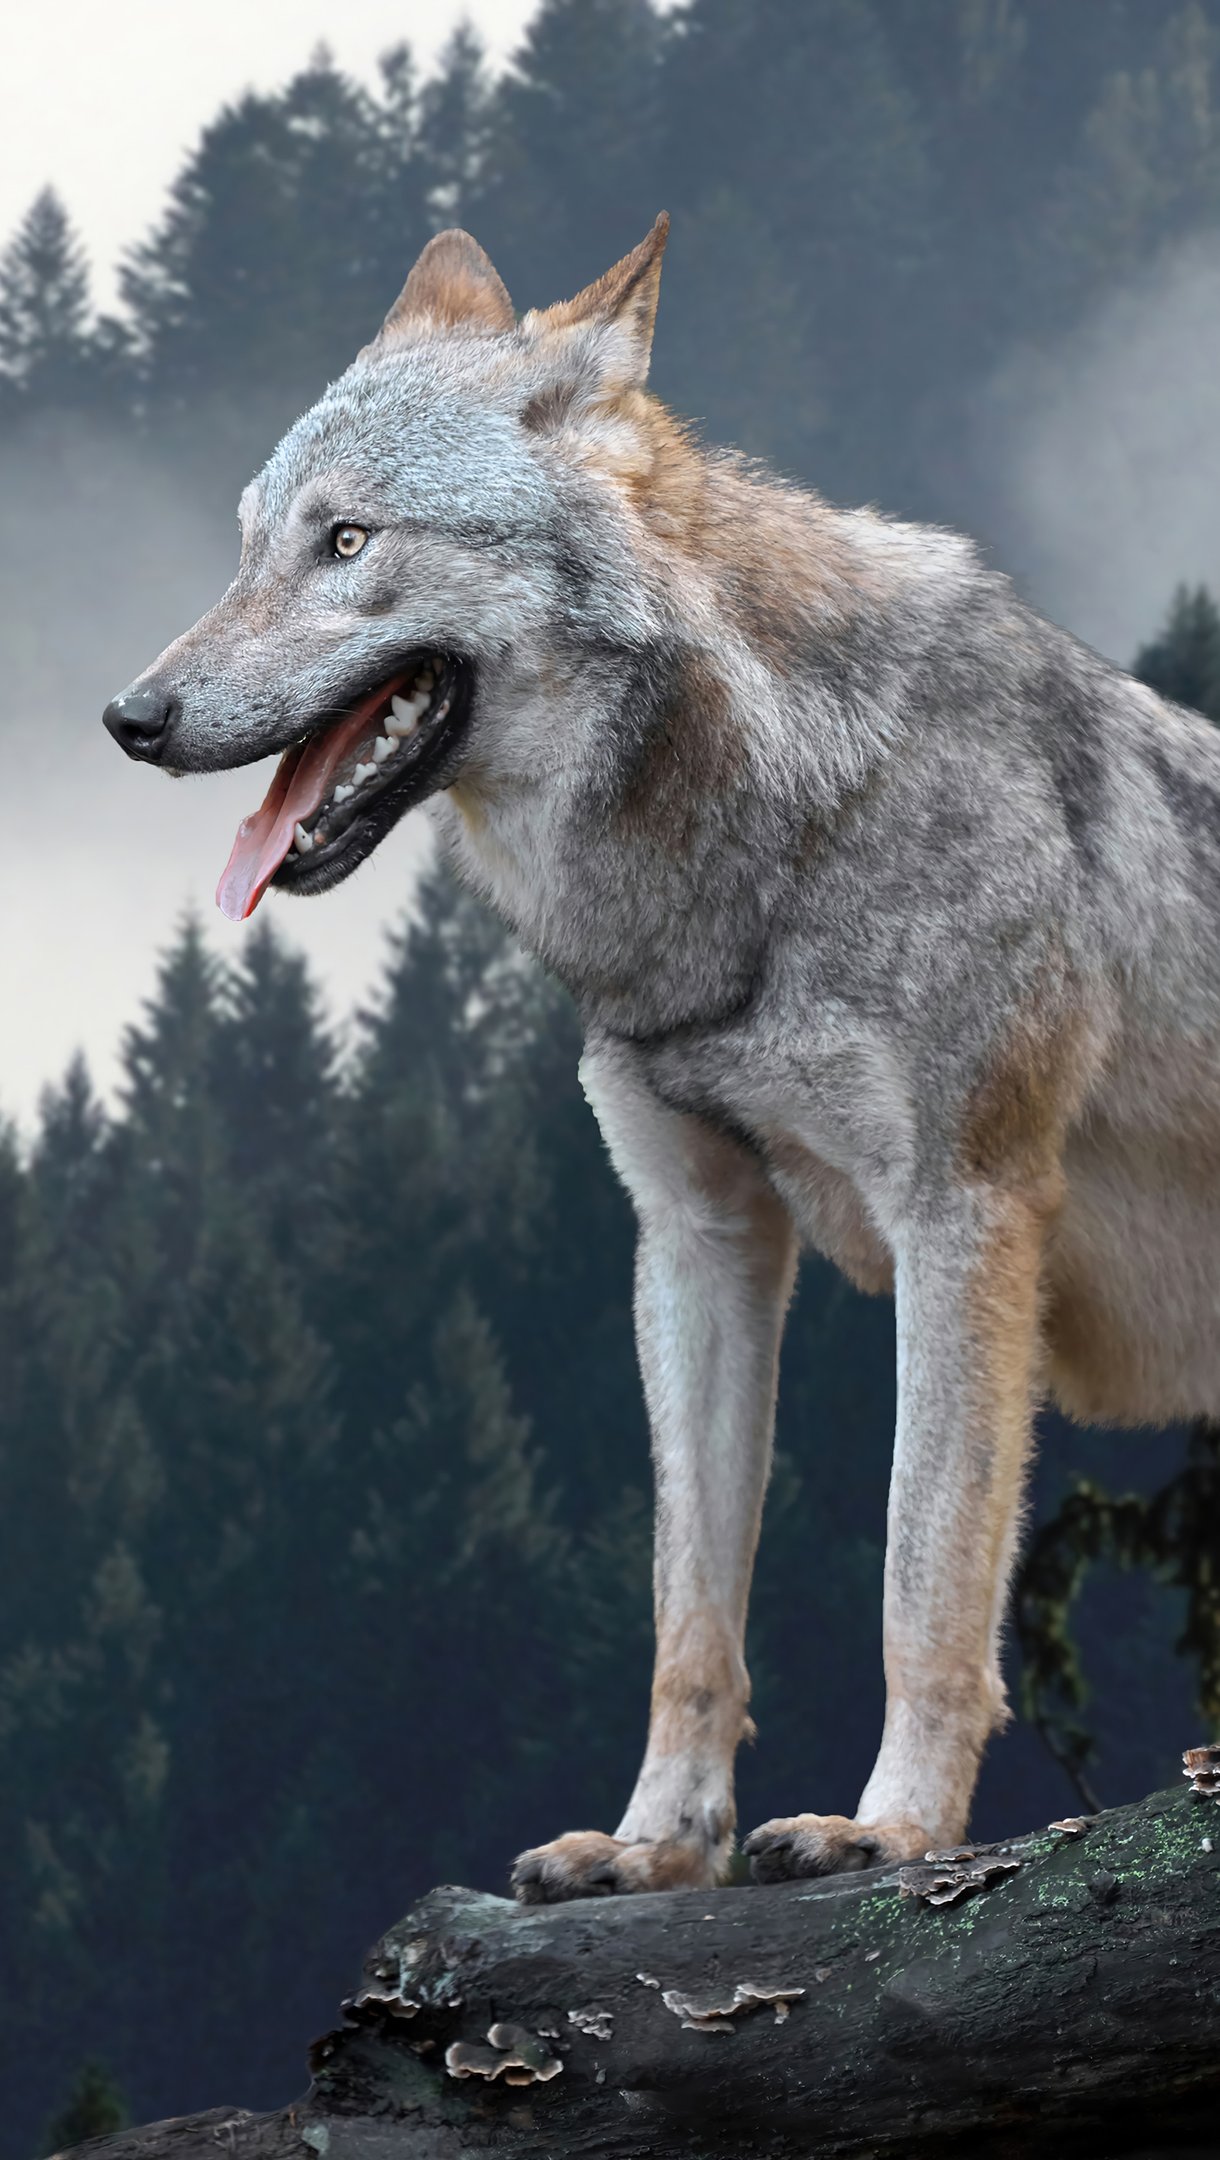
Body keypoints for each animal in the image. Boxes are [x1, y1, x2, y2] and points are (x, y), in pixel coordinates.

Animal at [104, 216, 1220, 1900]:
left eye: (348, 542)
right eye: (249, 546)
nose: (131, 716)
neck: (771, 835)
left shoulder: (964, 1219)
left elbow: (922, 1574)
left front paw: (892, 1828)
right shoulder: (698, 1237)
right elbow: (688, 1613)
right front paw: (654, 1847)